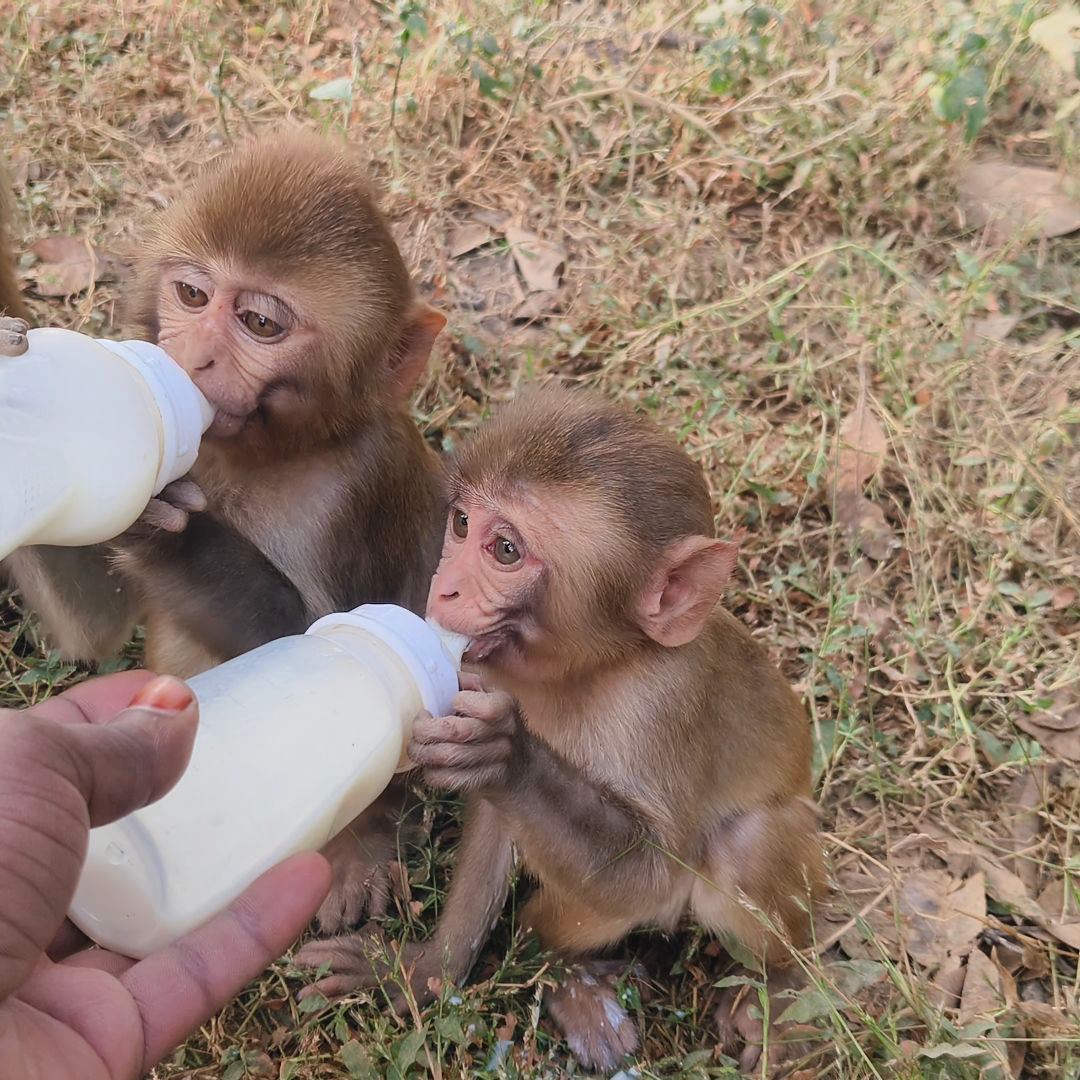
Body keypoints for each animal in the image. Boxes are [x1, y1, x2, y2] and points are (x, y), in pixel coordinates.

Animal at [3, 129, 447, 932]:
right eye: (192, 295)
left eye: (261, 323)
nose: (189, 358)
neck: (257, 456)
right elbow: (90, 636)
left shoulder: (354, 490)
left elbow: (322, 637)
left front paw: (175, 531)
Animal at [297, 385, 825, 1072]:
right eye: (460, 523)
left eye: (506, 550)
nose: (444, 588)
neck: (590, 671)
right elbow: (496, 825)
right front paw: (423, 971)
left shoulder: (662, 704)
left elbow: (653, 876)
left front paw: (505, 757)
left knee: (742, 845)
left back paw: (776, 984)